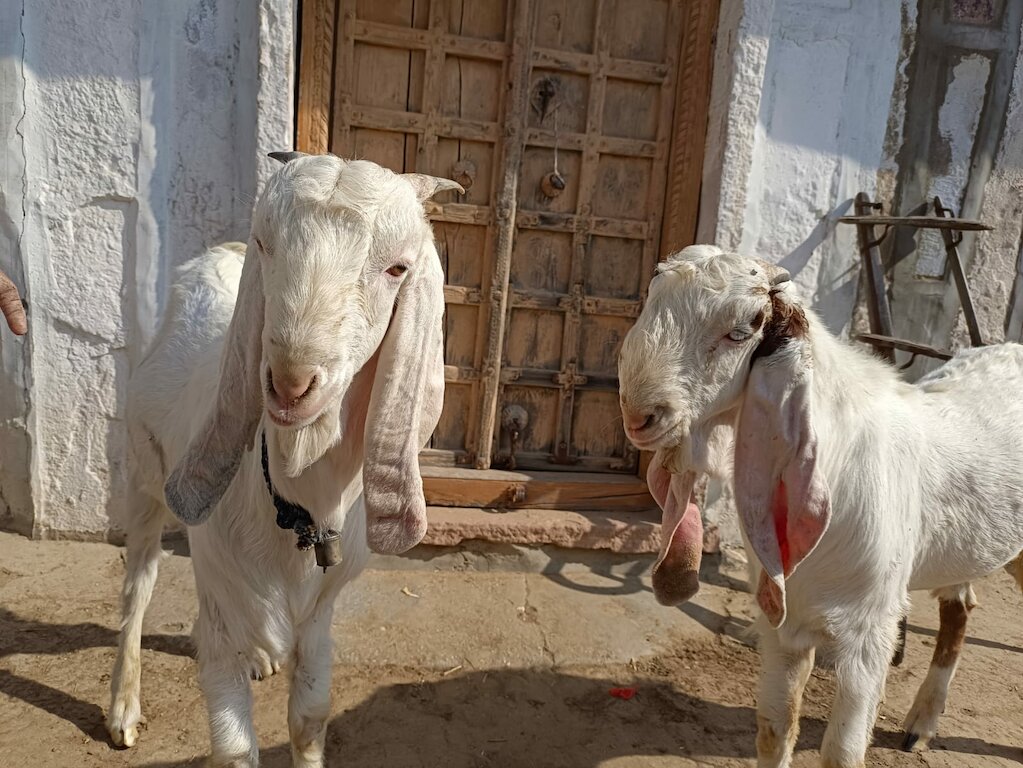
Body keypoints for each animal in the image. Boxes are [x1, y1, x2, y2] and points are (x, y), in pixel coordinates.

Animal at [106, 152, 461, 767]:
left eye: (397, 269)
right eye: (266, 244)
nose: (291, 385)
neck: (297, 510)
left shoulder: (320, 618)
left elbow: (309, 718)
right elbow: (233, 747)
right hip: (144, 476)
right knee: (139, 584)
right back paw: (123, 710)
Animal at [618, 245, 1023, 768]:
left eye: (742, 329)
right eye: (652, 298)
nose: (639, 416)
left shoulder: (870, 633)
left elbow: (842, 753)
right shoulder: (781, 623)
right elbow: (774, 728)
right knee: (959, 609)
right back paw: (920, 724)